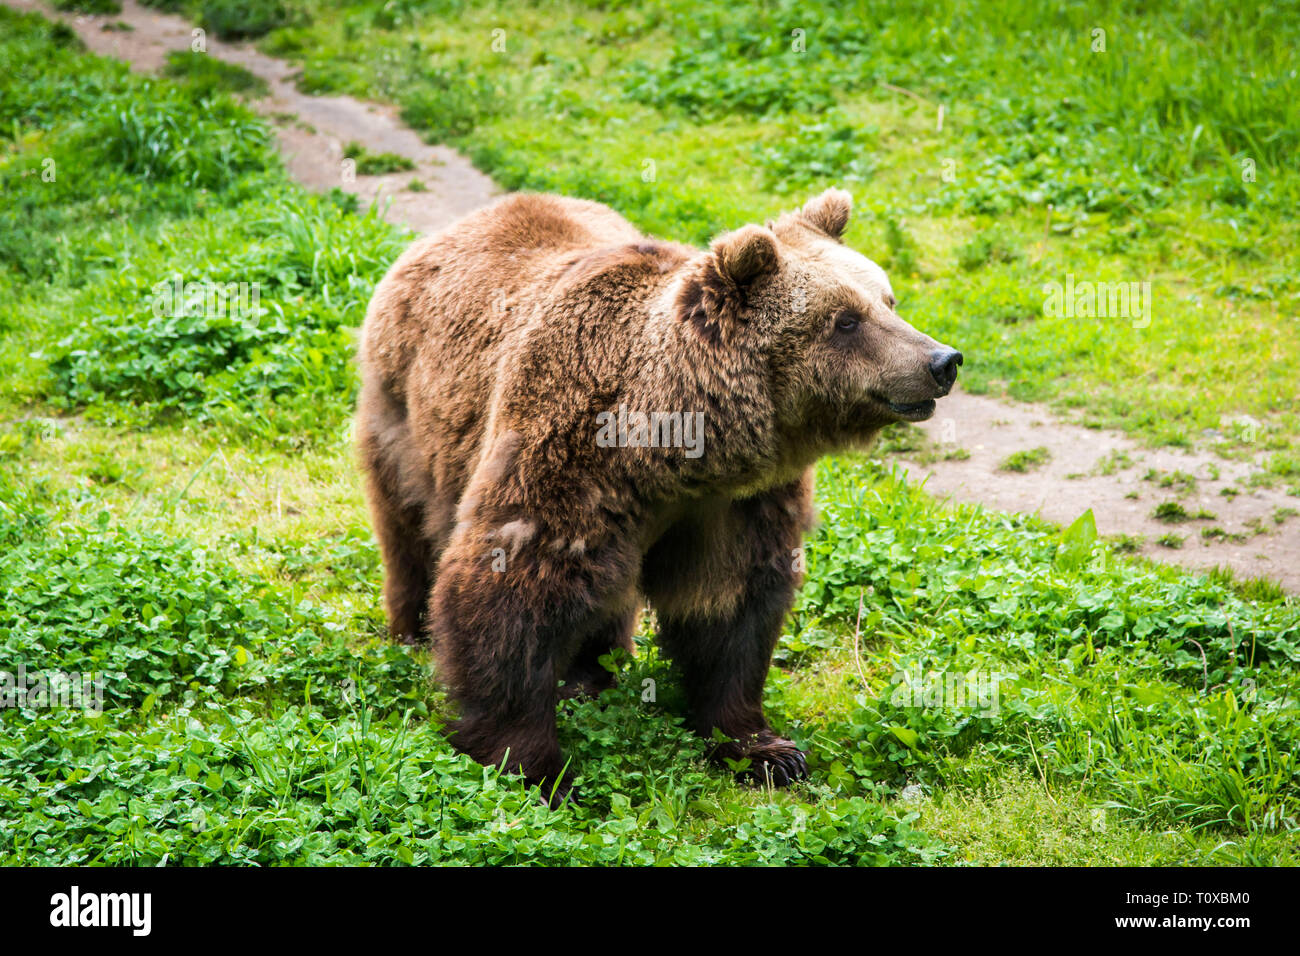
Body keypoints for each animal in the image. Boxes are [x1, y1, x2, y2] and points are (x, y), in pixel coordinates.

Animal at [355, 188, 961, 799]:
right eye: (846, 319)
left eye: (888, 300)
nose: (942, 361)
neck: (670, 450)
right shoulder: (566, 451)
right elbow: (512, 589)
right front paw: (536, 767)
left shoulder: (734, 504)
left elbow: (732, 609)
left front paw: (766, 750)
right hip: (407, 414)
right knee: (407, 526)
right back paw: (414, 631)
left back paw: (591, 670)